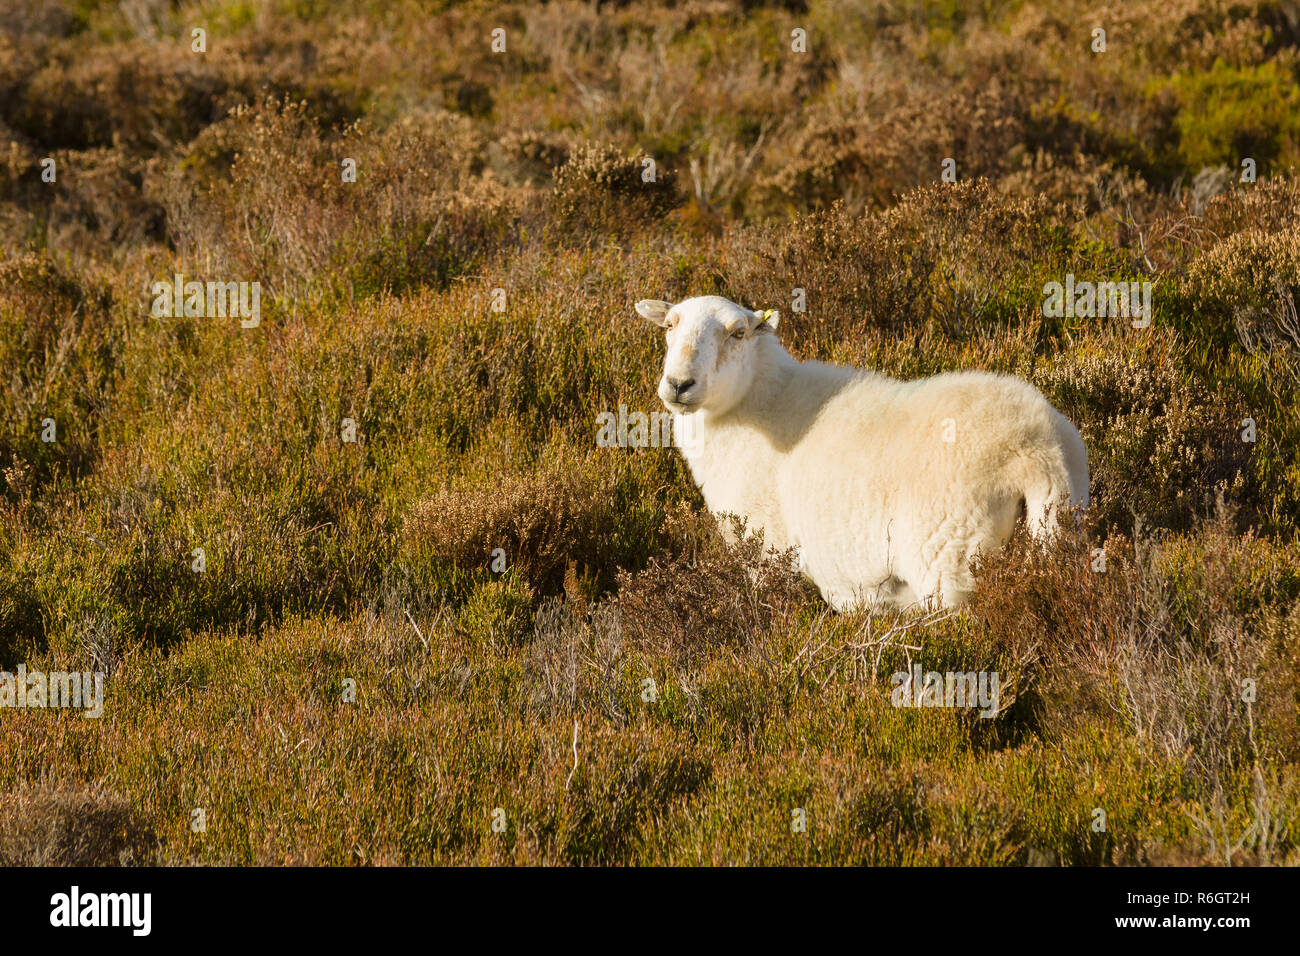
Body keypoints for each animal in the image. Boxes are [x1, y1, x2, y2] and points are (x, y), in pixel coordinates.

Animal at [636, 294, 1089, 611]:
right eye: (670, 325)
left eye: (738, 333)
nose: (679, 384)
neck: (757, 405)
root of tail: (1034, 450)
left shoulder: (765, 551)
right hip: (1061, 519)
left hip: (949, 558)